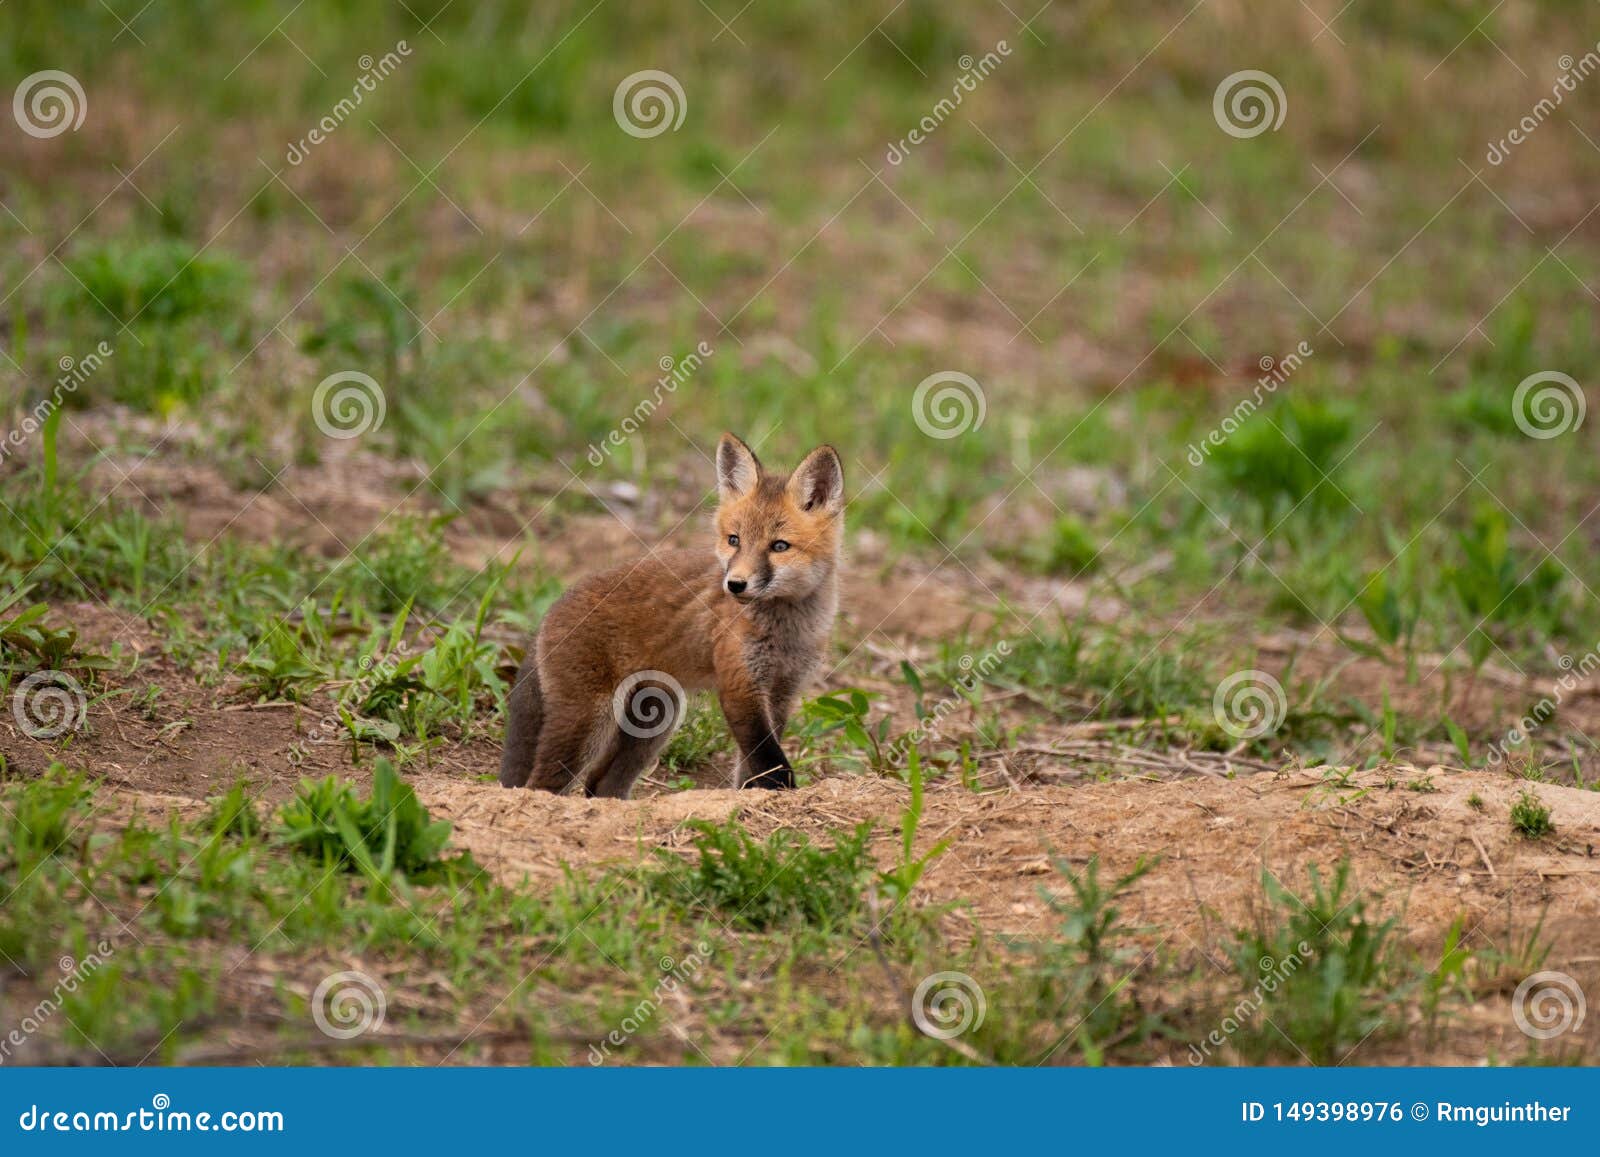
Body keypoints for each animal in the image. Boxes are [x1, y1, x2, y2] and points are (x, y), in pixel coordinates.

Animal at [499, 433, 844, 798]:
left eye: (779, 546)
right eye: (734, 540)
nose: (735, 584)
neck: (787, 632)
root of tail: (548, 613)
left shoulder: (782, 693)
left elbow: (752, 769)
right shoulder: (740, 687)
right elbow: (771, 762)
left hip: (652, 721)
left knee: (600, 783)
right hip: (590, 720)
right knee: (542, 784)